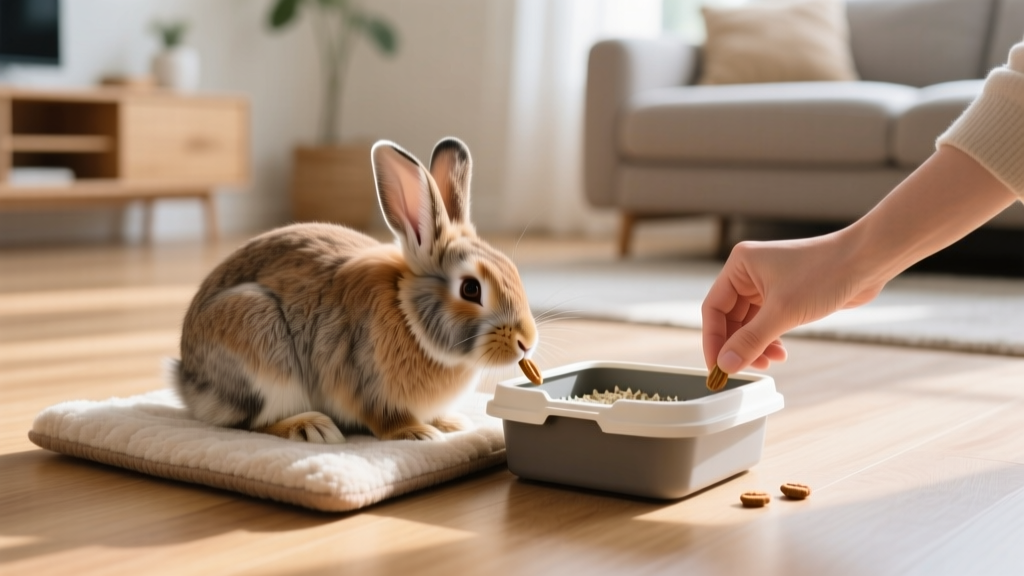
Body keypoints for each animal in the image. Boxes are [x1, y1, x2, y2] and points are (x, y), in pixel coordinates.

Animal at [170, 137, 539, 443]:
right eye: (471, 289)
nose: (526, 342)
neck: (409, 318)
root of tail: (187, 380)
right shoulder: (366, 383)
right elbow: (384, 419)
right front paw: (419, 433)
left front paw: (451, 424)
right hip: (262, 352)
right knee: (252, 423)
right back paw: (312, 428)